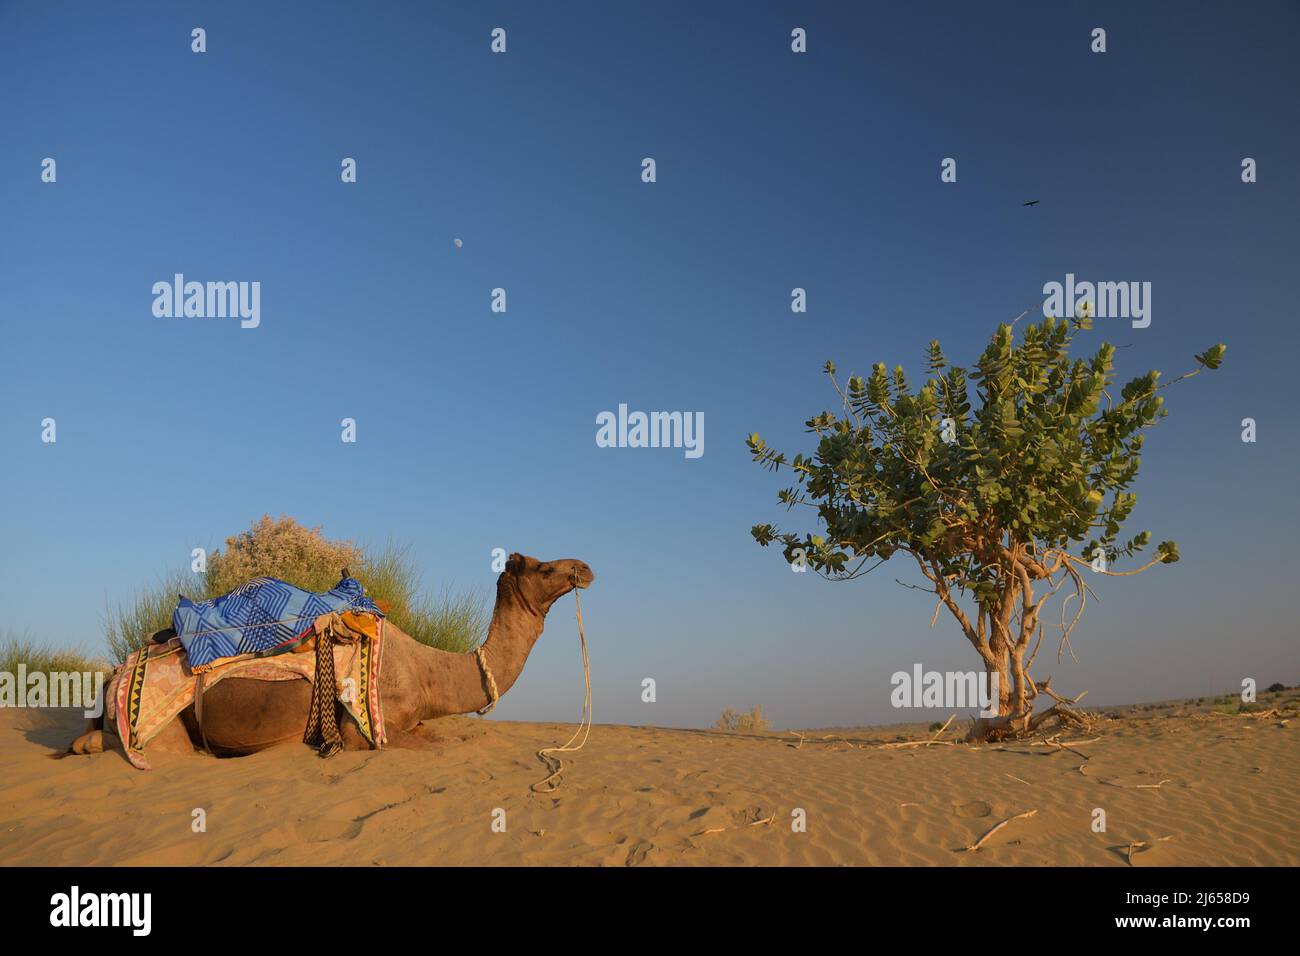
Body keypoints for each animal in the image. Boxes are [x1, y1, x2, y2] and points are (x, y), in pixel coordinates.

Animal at [65, 552, 594, 760]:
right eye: (544, 569)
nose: (583, 568)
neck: (427, 672)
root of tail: (116, 674)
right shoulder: (367, 731)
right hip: (160, 724)